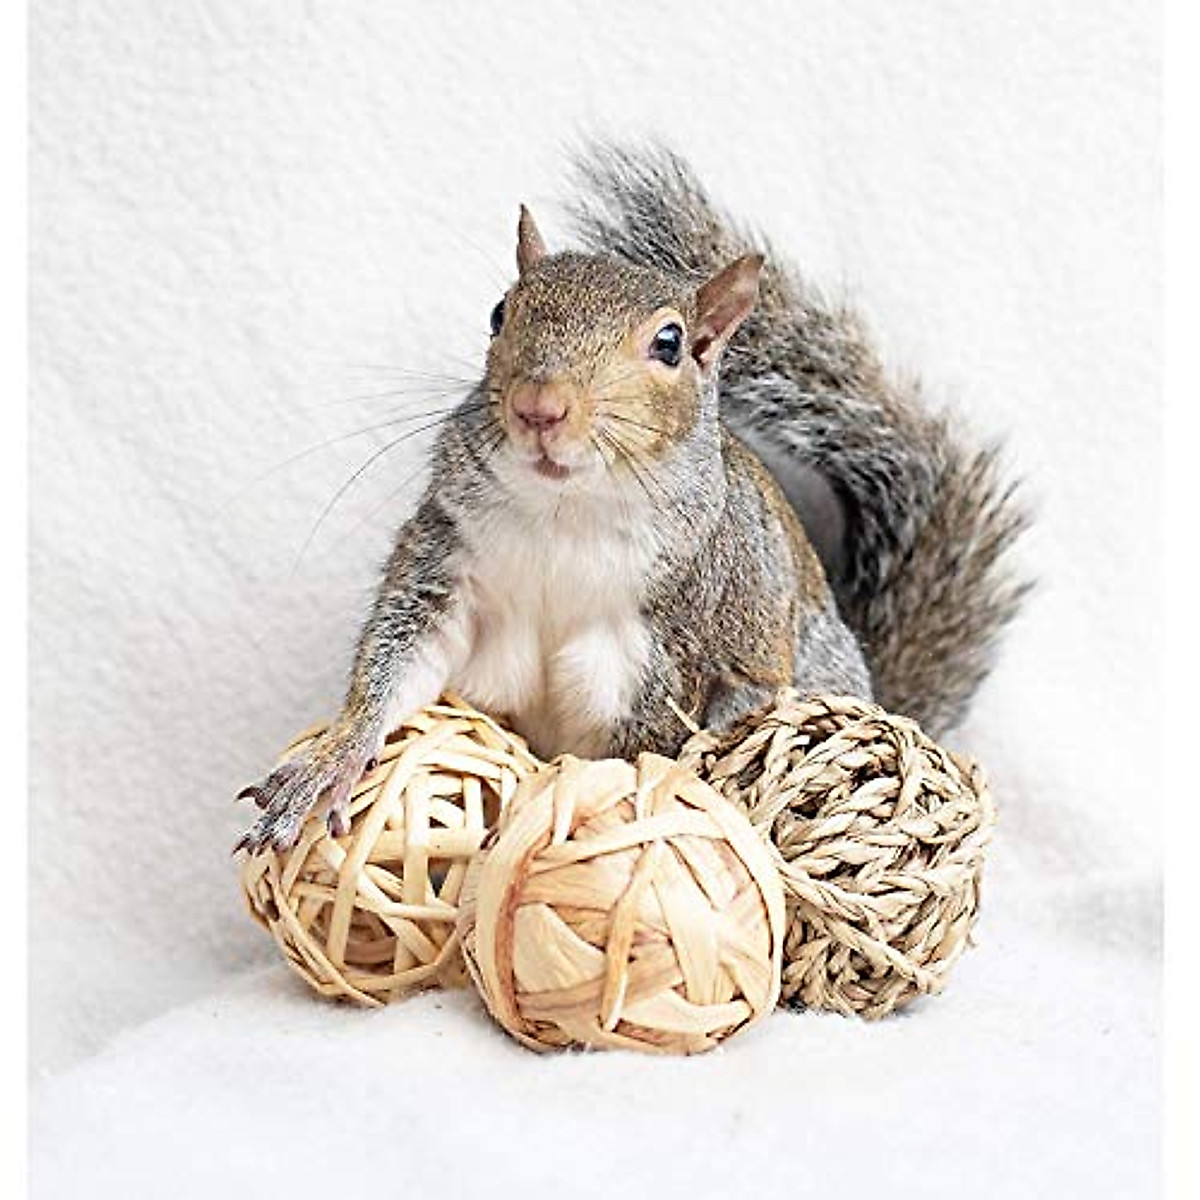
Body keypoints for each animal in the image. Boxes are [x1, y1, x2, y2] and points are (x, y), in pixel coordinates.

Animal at [236, 143, 1029, 854]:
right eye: (499, 313)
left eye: (670, 344)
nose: (539, 406)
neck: (567, 512)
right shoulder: (450, 563)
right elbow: (400, 662)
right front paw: (328, 767)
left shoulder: (679, 655)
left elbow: (630, 760)